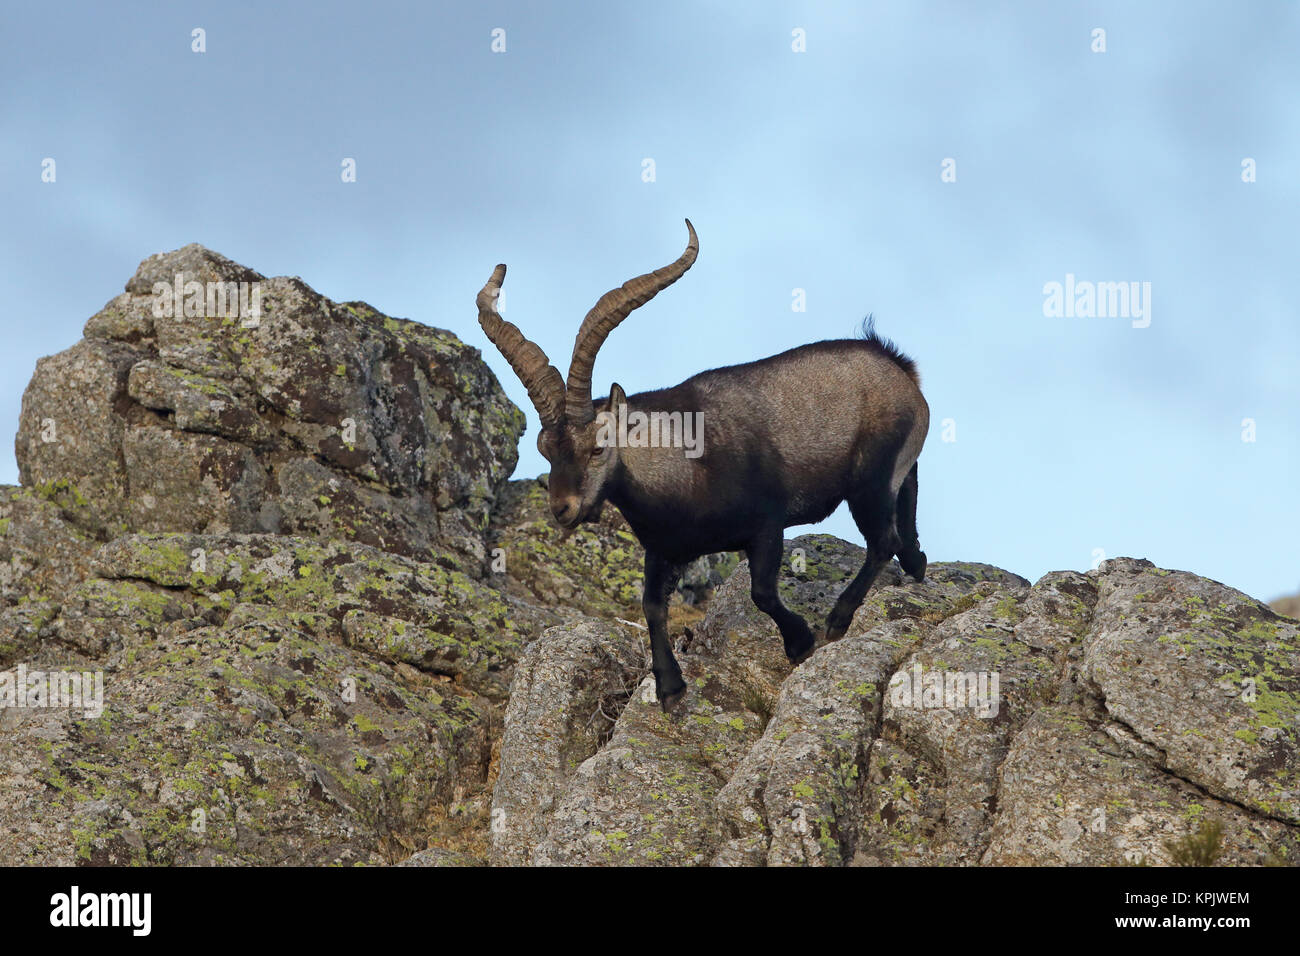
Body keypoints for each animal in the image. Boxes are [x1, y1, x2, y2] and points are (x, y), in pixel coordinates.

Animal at [477, 220, 929, 711]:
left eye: (598, 448)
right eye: (544, 448)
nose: (562, 509)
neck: (681, 469)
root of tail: (898, 366)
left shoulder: (766, 523)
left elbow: (762, 592)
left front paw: (800, 641)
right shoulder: (664, 549)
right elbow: (652, 606)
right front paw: (670, 687)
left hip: (869, 478)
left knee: (882, 539)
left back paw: (838, 619)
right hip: (892, 469)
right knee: (908, 496)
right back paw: (917, 563)